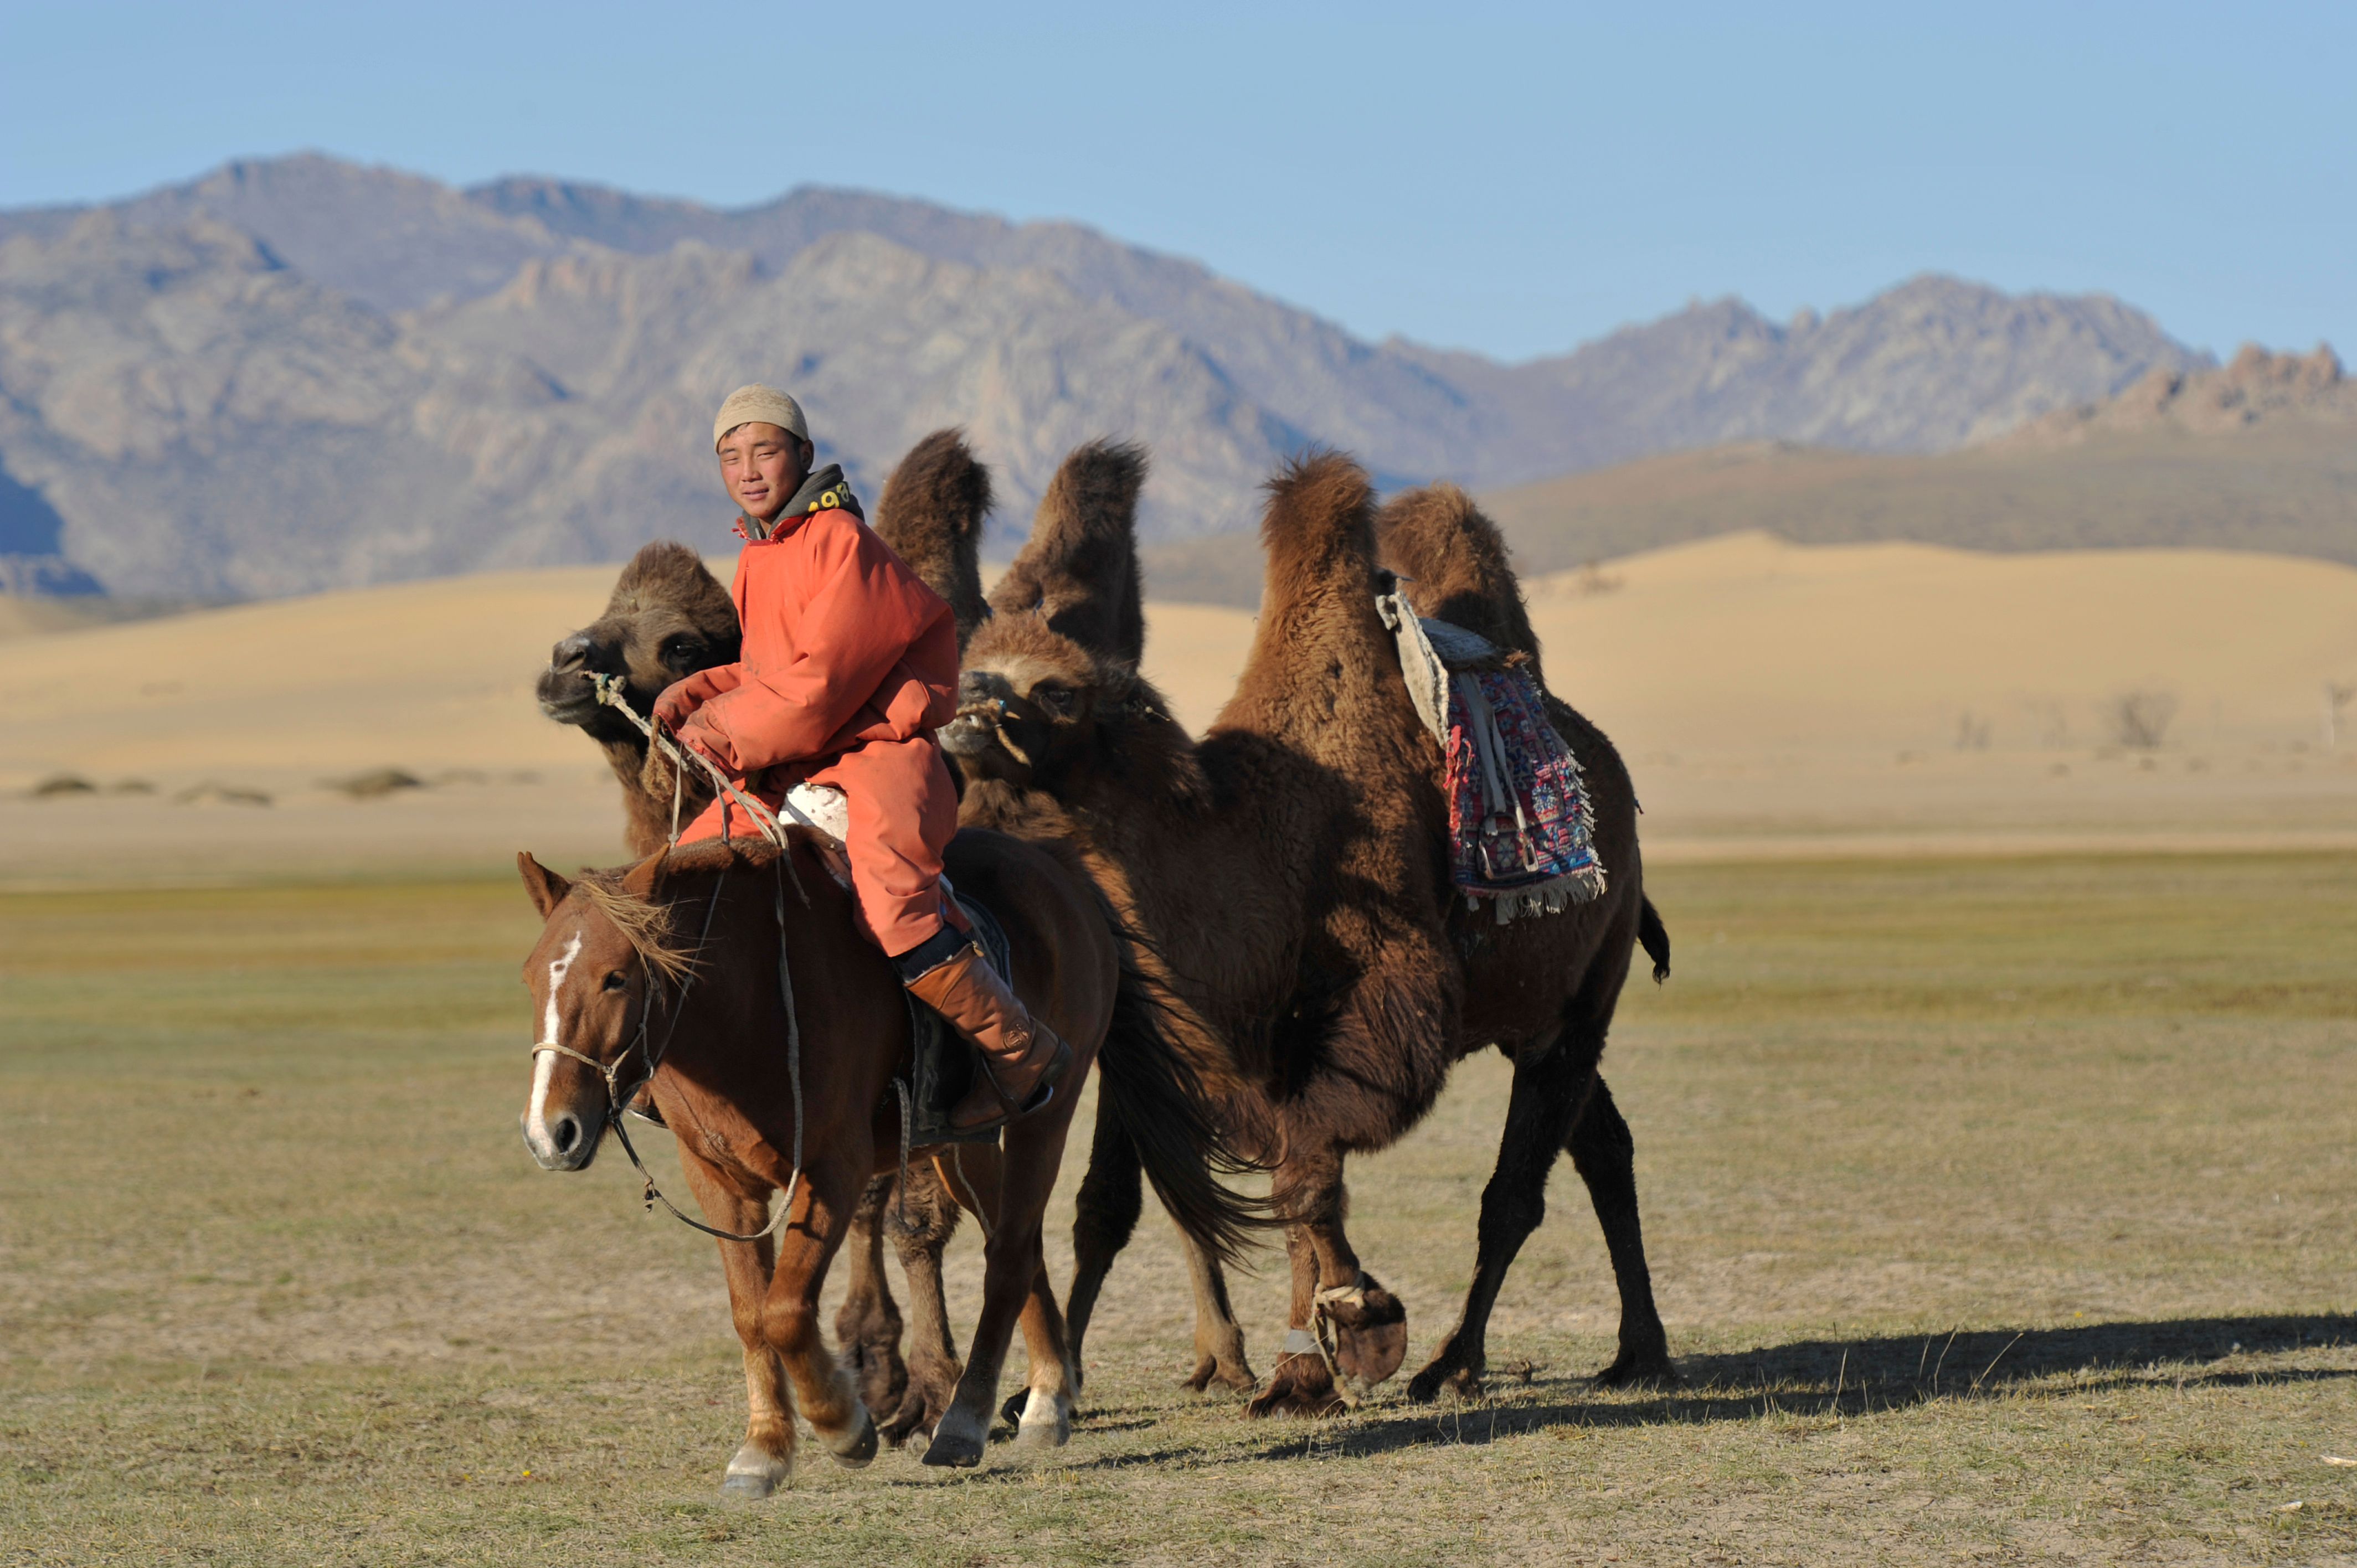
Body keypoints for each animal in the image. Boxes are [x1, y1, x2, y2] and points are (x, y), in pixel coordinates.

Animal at [945, 452, 1675, 1412]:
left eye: (1056, 690)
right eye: (970, 669)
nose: (963, 716)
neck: (1264, 843)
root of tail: (1614, 789)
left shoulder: (1388, 995)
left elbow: (1309, 1166)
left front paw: (1352, 1331)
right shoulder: (1266, 1039)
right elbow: (1302, 1184)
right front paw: (1309, 1363)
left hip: (1583, 995)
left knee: (1516, 1191)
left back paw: (1456, 1363)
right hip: (1532, 1012)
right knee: (1603, 1148)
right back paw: (1637, 1352)